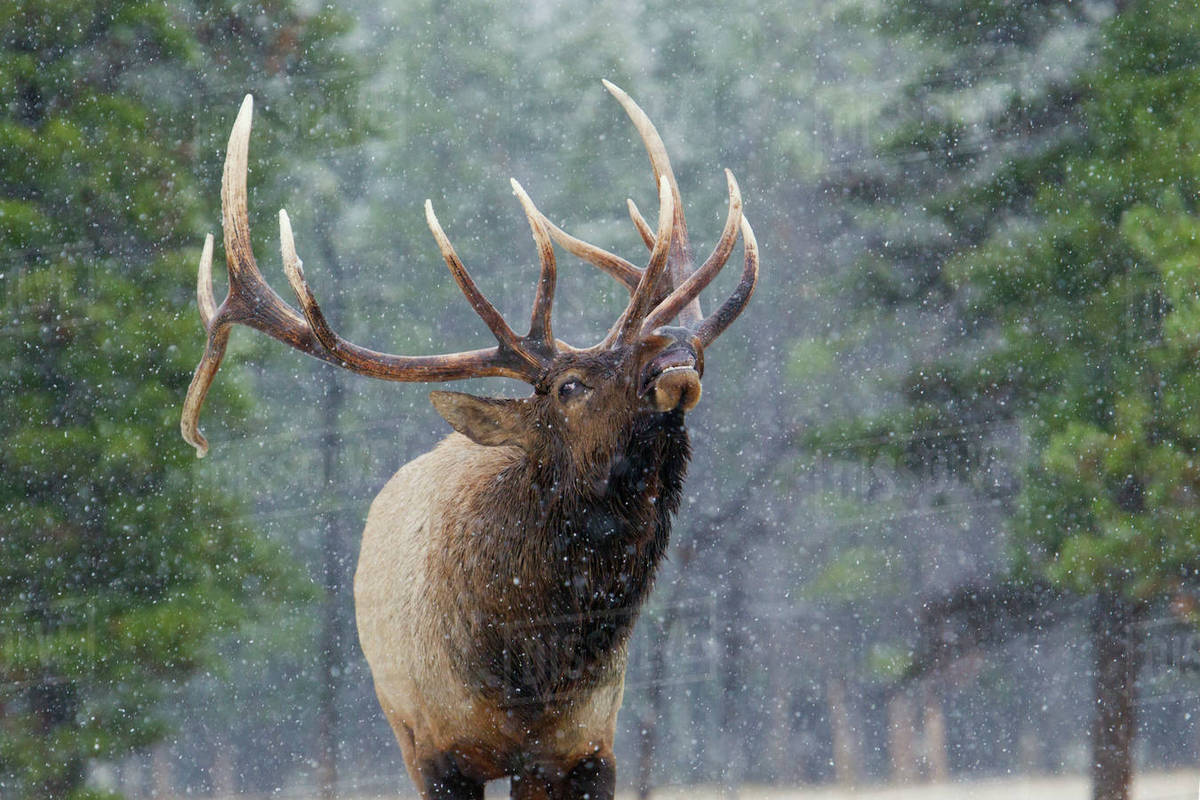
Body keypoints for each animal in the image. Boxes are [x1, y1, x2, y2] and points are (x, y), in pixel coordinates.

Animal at [180, 81, 757, 800]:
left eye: (690, 353)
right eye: (569, 386)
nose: (677, 353)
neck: (530, 671)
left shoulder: (587, 744)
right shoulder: (439, 747)